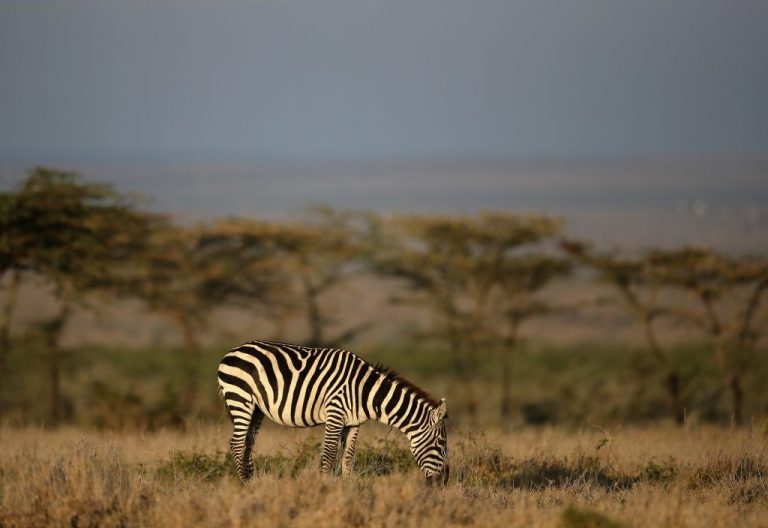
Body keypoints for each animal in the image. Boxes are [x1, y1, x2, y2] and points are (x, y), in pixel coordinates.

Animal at [217, 339, 449, 484]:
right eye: (441, 444)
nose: (444, 482)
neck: (364, 392)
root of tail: (231, 351)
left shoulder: (354, 422)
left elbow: (347, 457)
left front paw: (348, 489)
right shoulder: (335, 414)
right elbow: (328, 455)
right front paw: (325, 488)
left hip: (255, 408)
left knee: (248, 443)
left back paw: (252, 481)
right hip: (240, 399)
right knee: (236, 443)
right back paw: (243, 484)